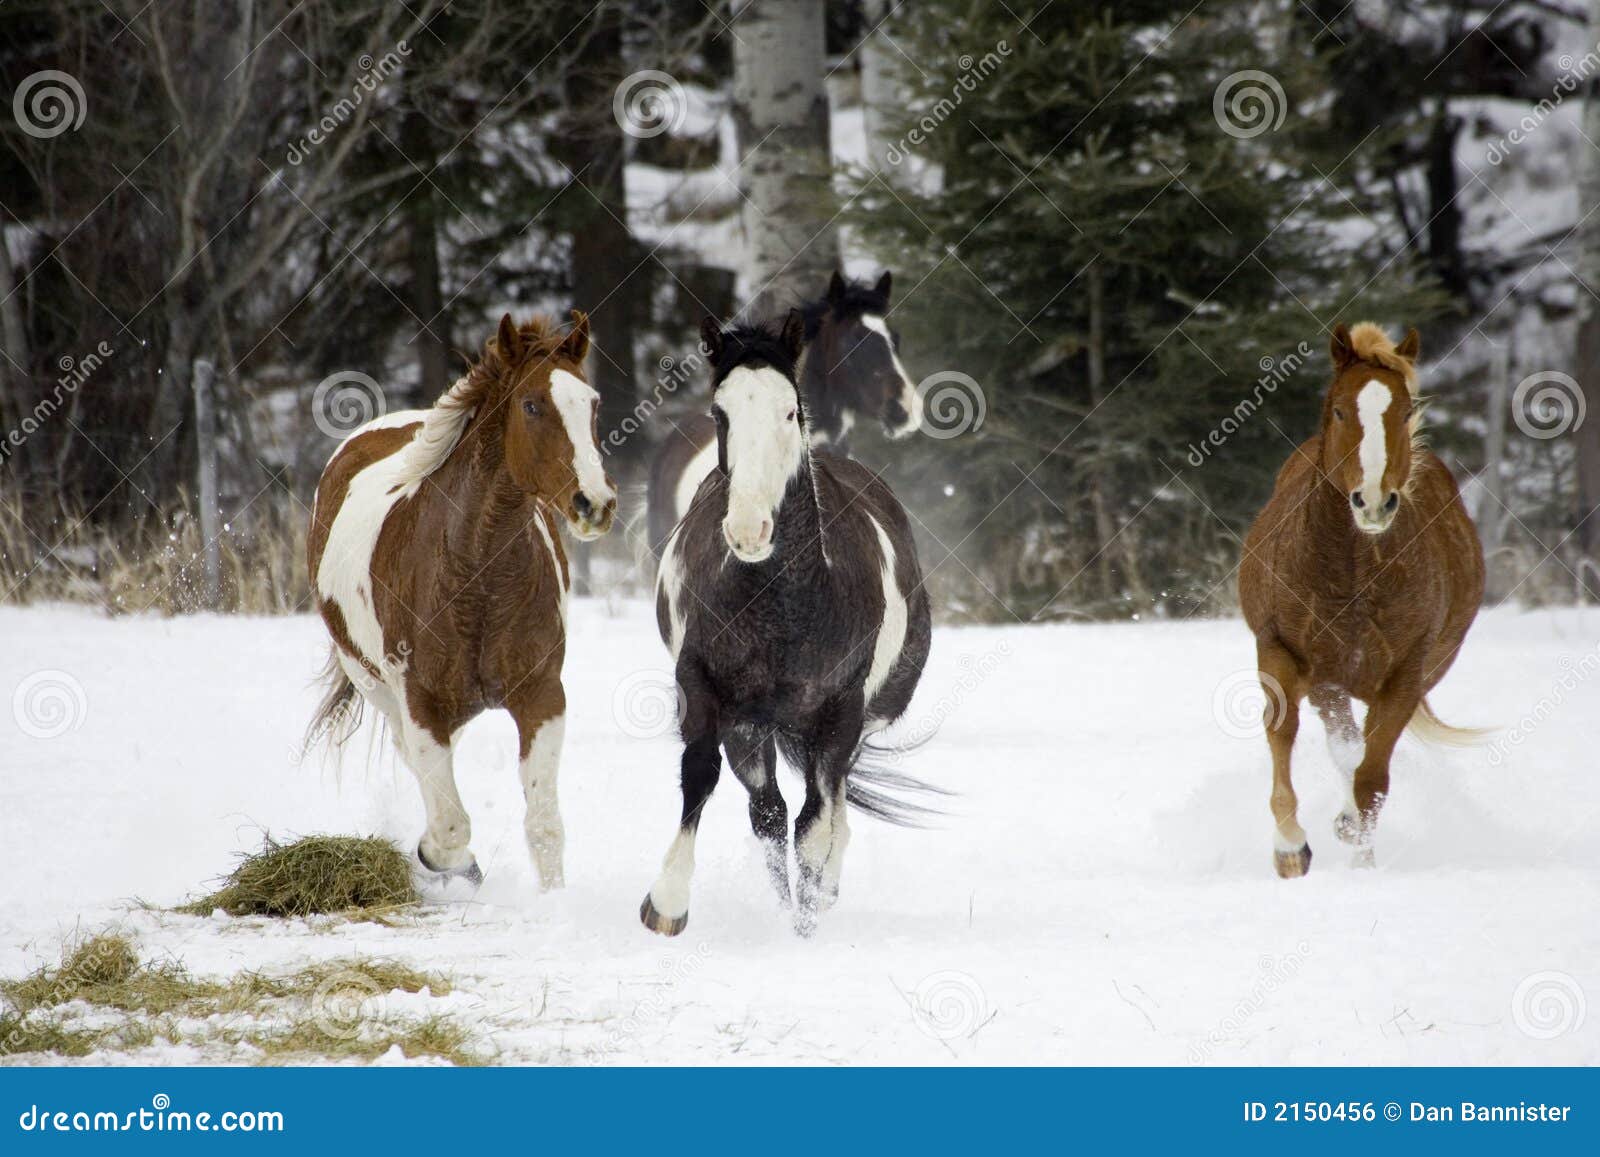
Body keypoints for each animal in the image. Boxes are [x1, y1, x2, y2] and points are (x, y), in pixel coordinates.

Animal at [305, 311, 617, 889]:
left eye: (592, 403)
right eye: (532, 405)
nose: (596, 503)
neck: (477, 579)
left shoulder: (541, 695)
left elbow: (544, 825)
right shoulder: (420, 702)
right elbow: (450, 828)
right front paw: (440, 860)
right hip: (373, 683)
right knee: (410, 756)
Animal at [641, 312, 933, 937]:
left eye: (790, 412)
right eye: (720, 414)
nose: (749, 529)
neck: (781, 609)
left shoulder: (840, 712)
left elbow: (816, 824)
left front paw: (809, 919)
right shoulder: (707, 690)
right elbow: (704, 775)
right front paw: (668, 903)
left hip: (852, 725)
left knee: (828, 809)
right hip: (754, 728)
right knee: (768, 811)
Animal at [1239, 322, 1484, 878]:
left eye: (1406, 410)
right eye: (1339, 410)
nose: (1373, 502)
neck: (1350, 573)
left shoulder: (1404, 676)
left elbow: (1372, 778)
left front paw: (1358, 854)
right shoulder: (1281, 652)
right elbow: (1282, 732)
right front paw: (1290, 849)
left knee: (1360, 755)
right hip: (1329, 683)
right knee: (1342, 741)